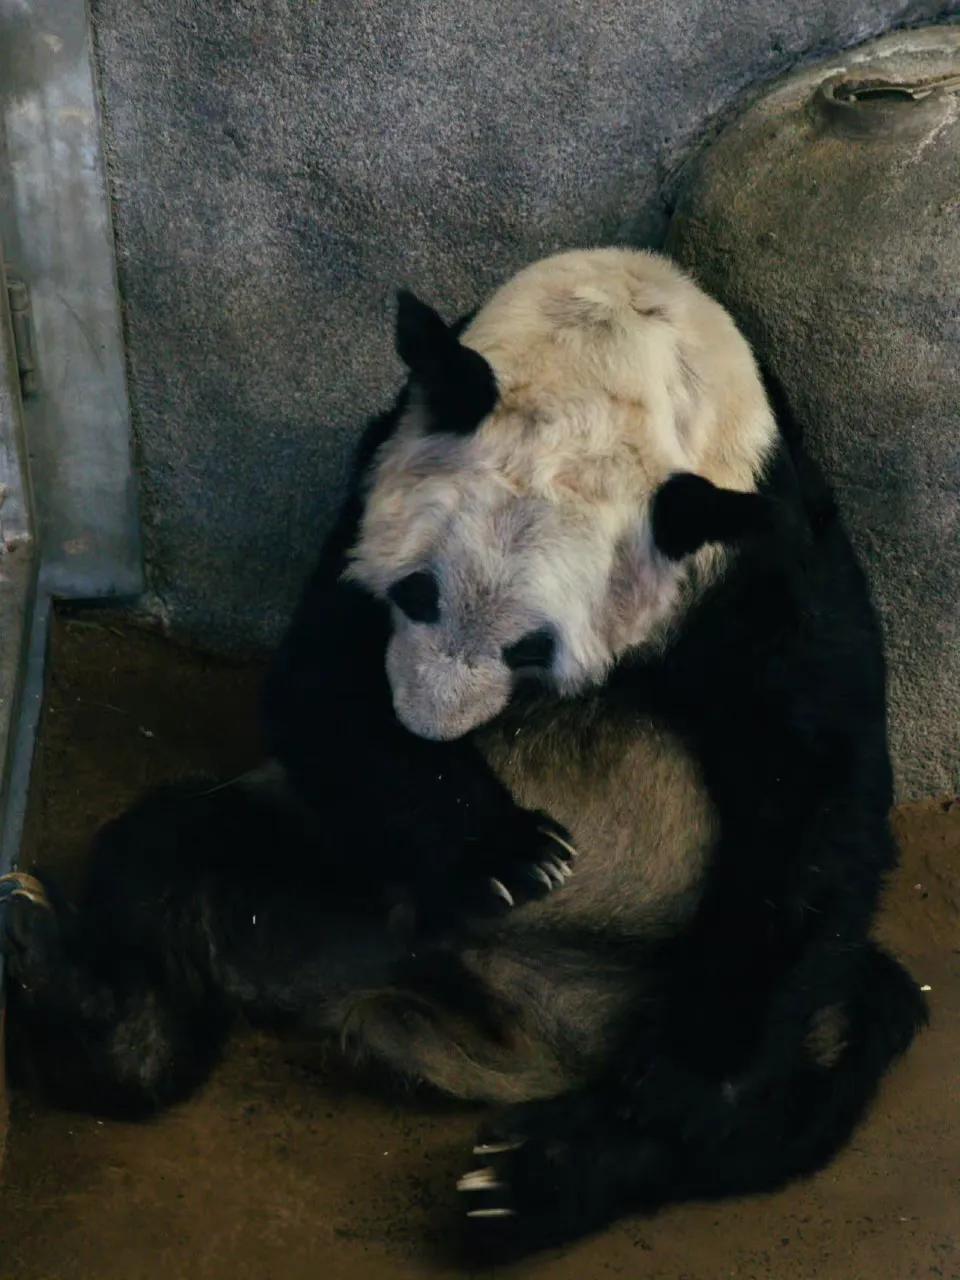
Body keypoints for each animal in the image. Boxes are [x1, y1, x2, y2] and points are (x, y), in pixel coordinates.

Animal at [0, 248, 926, 1255]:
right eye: (418, 593)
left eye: (531, 649)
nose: (431, 727)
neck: (616, 343)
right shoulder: (379, 475)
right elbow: (321, 683)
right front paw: (511, 851)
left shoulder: (763, 553)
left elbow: (817, 792)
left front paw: (677, 1088)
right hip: (313, 851)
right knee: (169, 860)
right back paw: (72, 986)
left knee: (828, 1047)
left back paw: (530, 1183)